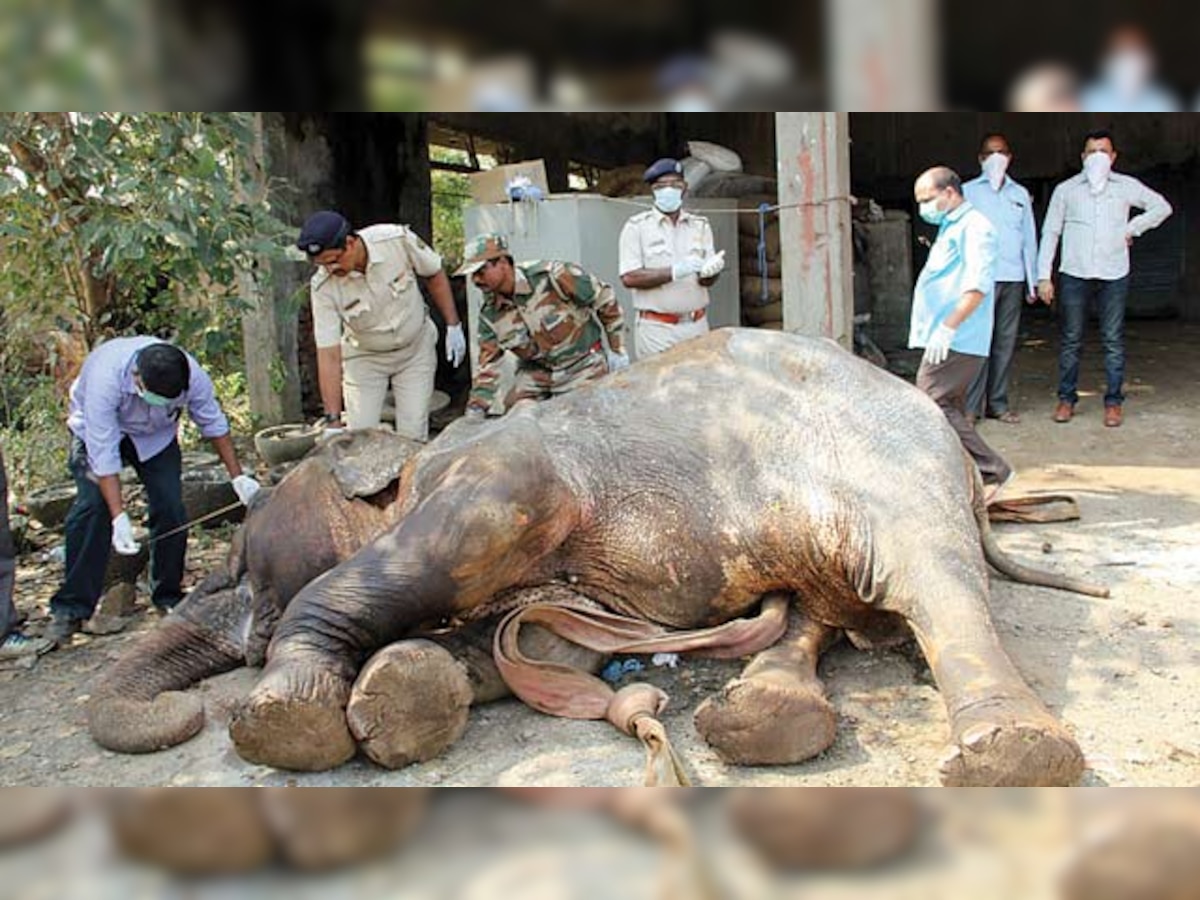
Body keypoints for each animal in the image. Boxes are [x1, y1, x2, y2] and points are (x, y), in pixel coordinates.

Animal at [87, 329, 1108, 786]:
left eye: (239, 559)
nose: (189, 708)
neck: (418, 451)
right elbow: (542, 645)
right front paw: (418, 689)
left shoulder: (499, 482)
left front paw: (287, 719)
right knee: (827, 602)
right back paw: (767, 718)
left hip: (887, 467)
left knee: (931, 580)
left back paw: (1012, 755)